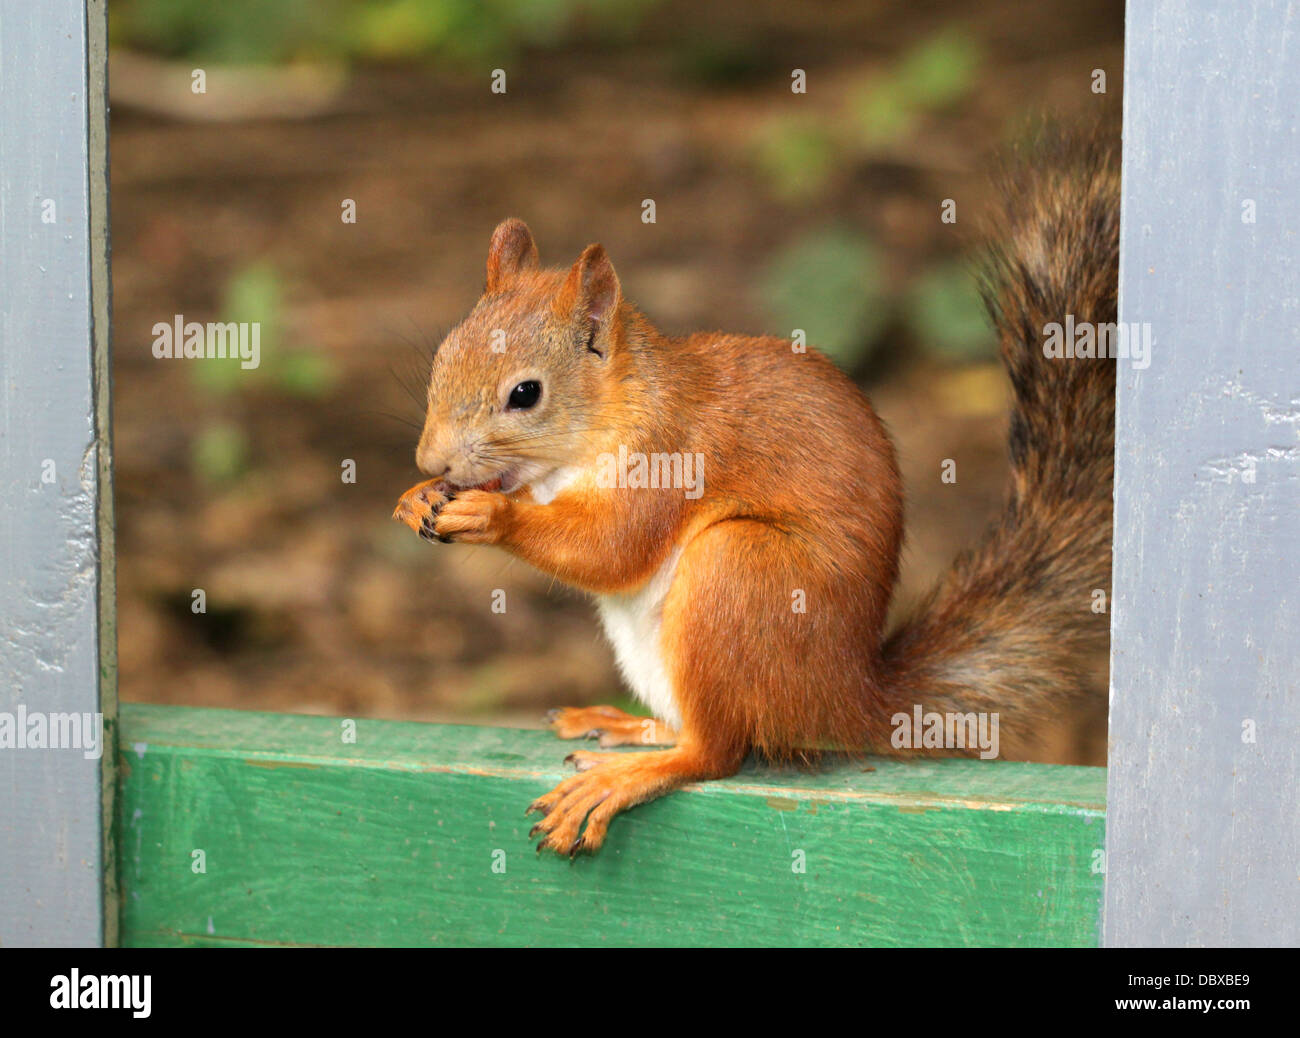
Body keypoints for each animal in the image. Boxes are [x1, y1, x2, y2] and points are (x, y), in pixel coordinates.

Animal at [393, 127, 1119, 856]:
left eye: (525, 393)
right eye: (441, 359)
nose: (429, 457)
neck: (610, 414)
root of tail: (848, 694)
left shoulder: (669, 456)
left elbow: (612, 548)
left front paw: (490, 511)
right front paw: (422, 496)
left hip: (741, 571)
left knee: (716, 753)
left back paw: (628, 776)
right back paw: (629, 728)